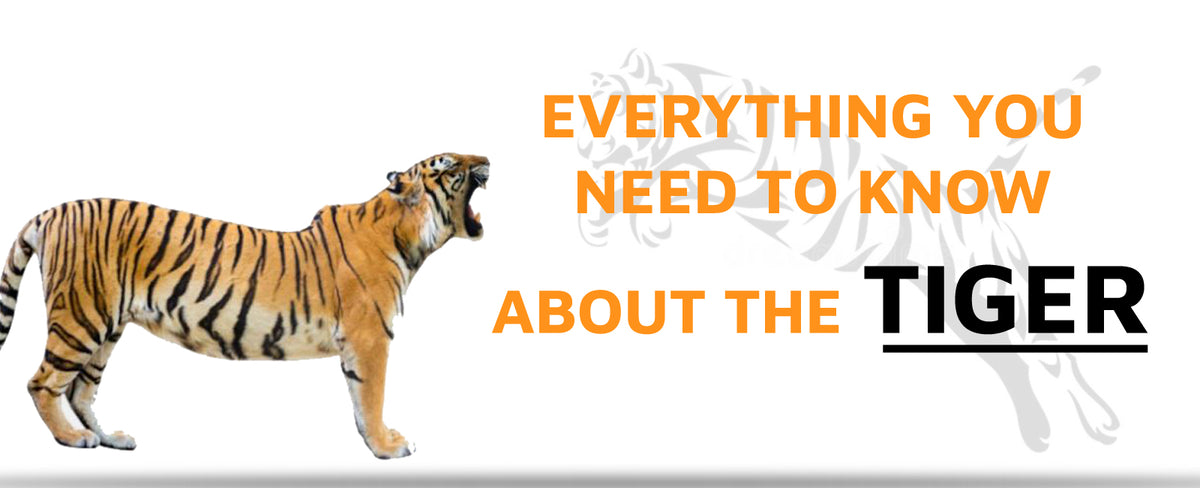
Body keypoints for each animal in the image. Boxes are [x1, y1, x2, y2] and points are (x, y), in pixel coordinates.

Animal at [0, 152, 489, 459]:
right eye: (447, 163)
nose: (487, 161)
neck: (408, 234)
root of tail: (51, 211)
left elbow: (361, 400)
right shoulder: (370, 338)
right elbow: (371, 397)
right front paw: (388, 448)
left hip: (107, 326)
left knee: (81, 389)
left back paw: (108, 438)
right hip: (81, 318)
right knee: (41, 382)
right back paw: (72, 438)